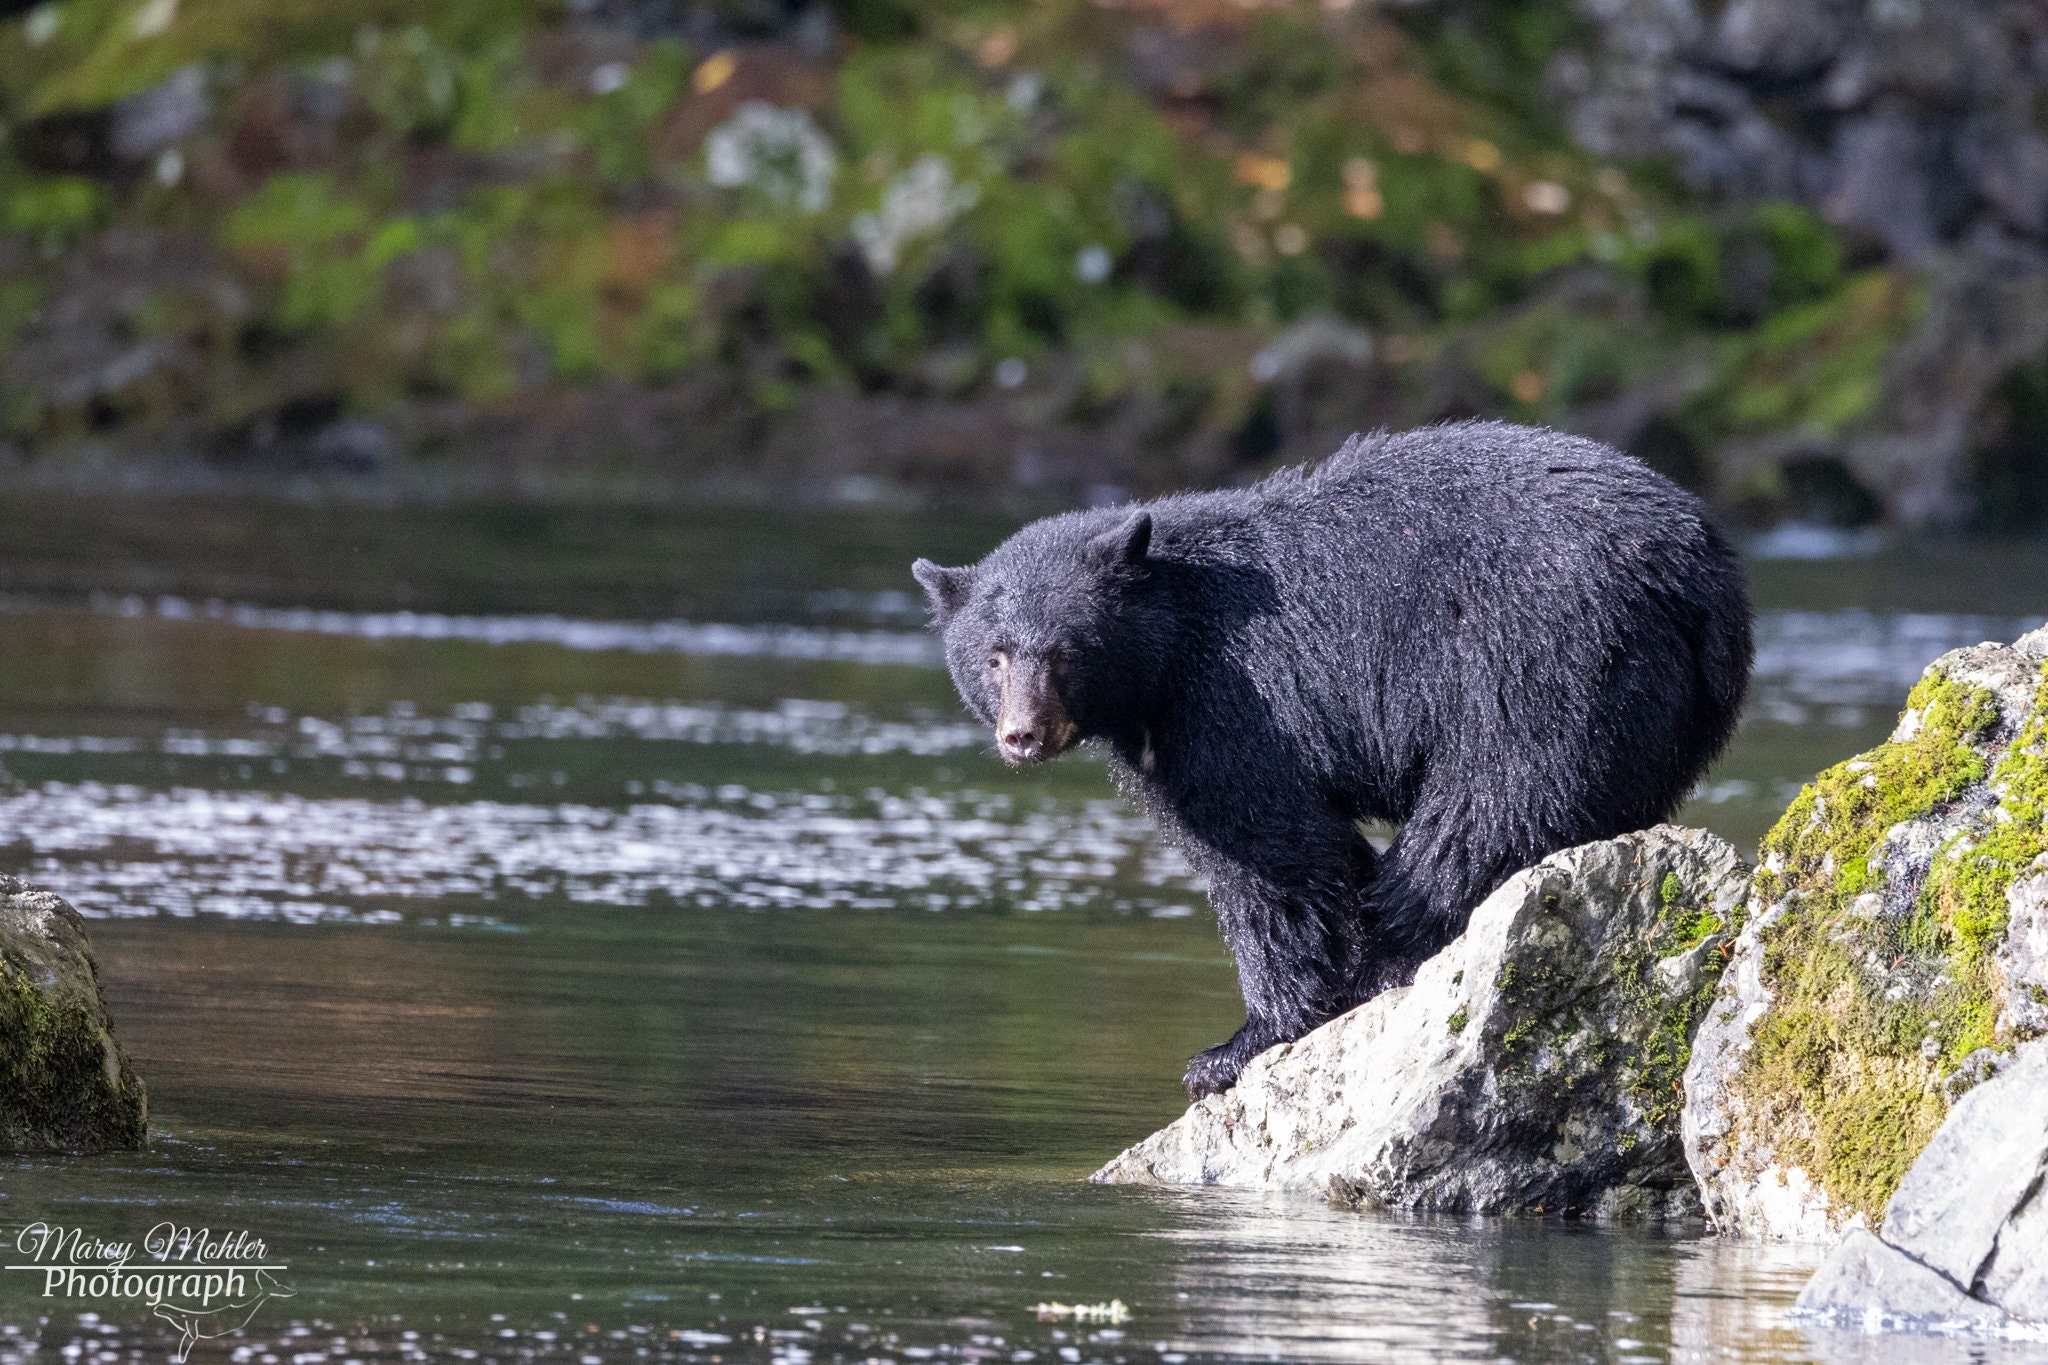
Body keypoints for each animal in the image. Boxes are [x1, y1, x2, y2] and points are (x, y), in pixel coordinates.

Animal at [912, 420, 1753, 1101]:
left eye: (1065, 650)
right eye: (993, 656)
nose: (1022, 734)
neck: (1168, 645)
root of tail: (1700, 574)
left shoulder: (1236, 699)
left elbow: (1270, 853)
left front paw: (1236, 1046)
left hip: (1539, 662)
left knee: (1488, 803)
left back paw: (1394, 956)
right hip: (1660, 704)